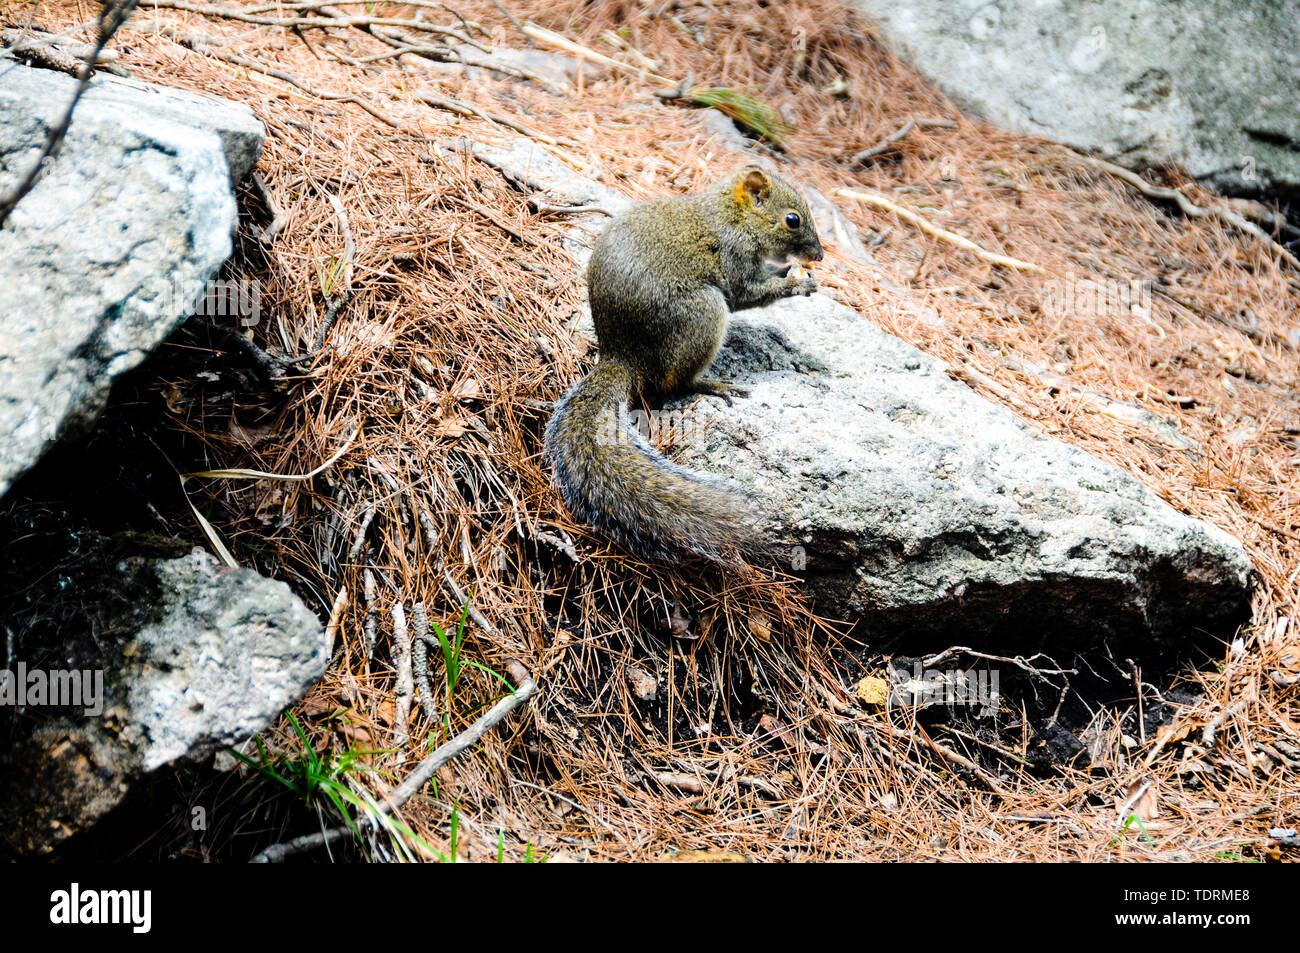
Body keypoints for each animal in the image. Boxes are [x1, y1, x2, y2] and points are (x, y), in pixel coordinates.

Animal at [544, 165, 825, 563]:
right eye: (792, 219)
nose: (819, 256)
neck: (732, 216)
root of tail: (622, 355)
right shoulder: (734, 255)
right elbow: (747, 293)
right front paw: (796, 284)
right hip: (703, 314)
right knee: (677, 383)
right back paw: (714, 384)